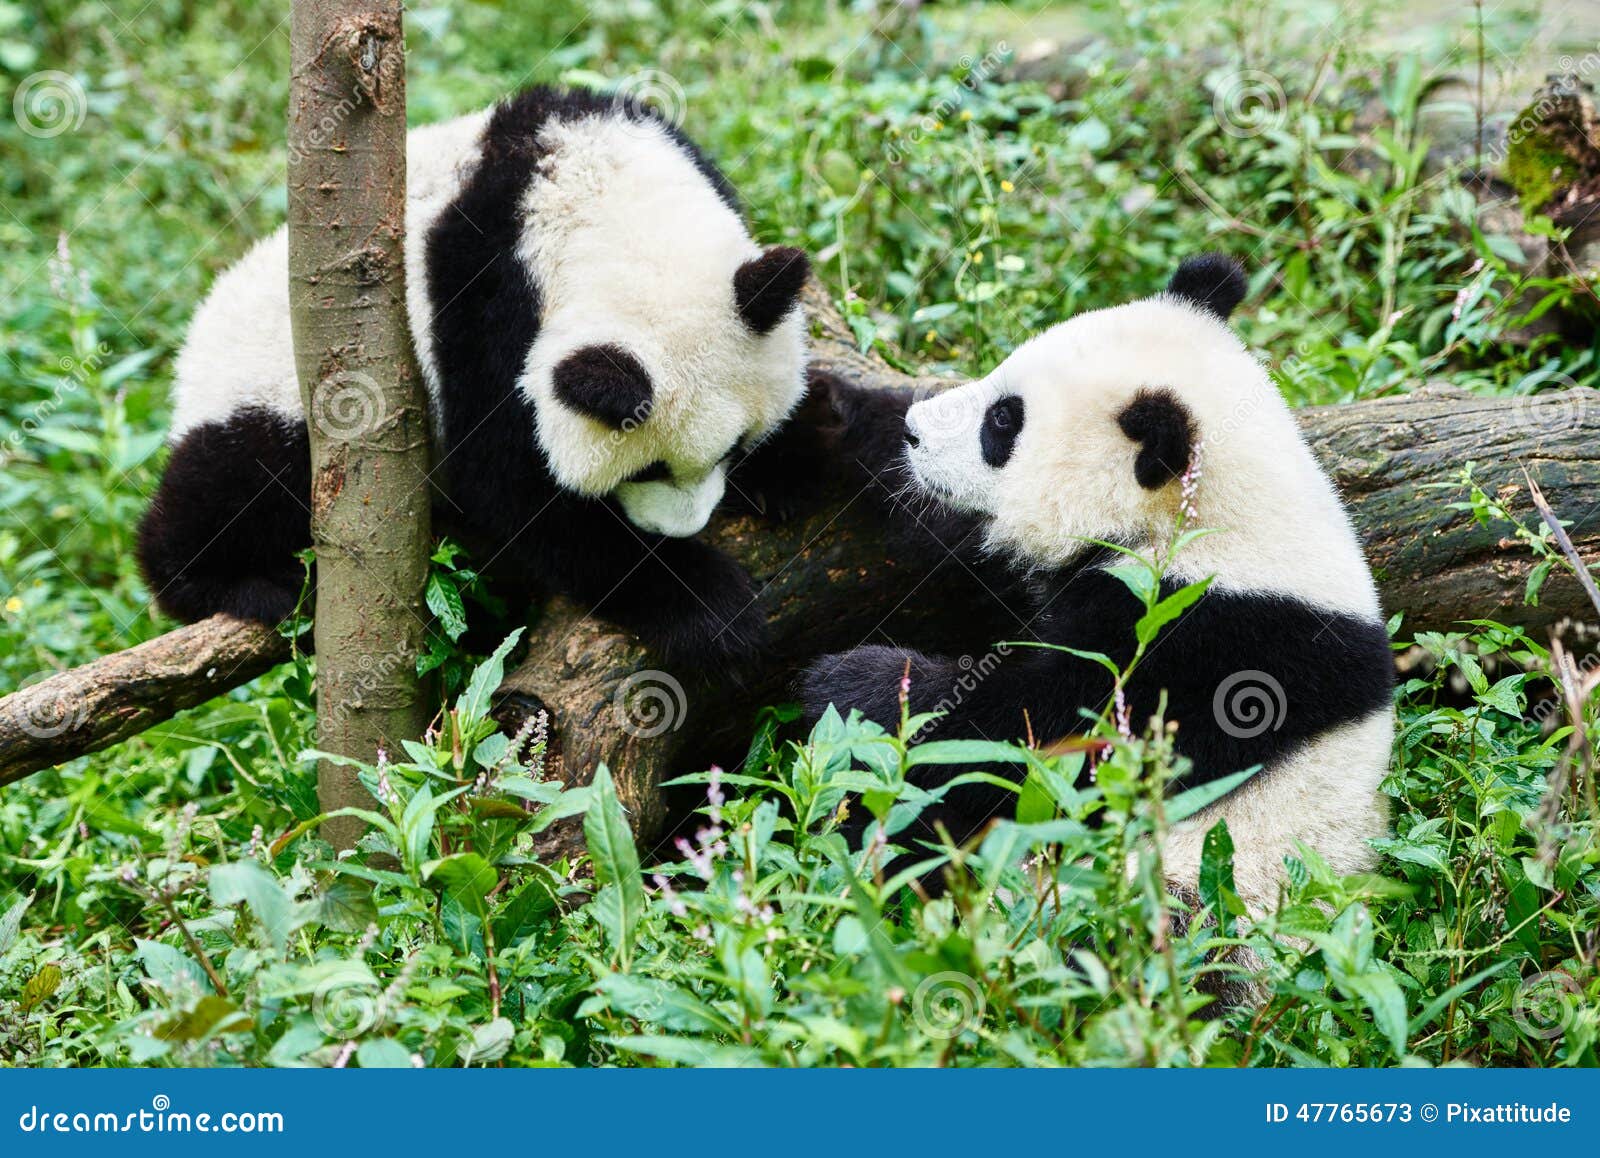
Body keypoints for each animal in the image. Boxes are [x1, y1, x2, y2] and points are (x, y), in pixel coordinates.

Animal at [136, 86, 811, 668]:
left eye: (732, 450)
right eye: (646, 471)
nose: (680, 528)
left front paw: (801, 459)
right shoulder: (484, 301)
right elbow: (513, 488)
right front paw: (706, 605)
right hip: (274, 391)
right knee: (237, 481)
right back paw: (232, 580)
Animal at [801, 255, 1395, 917]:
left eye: (1003, 421)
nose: (915, 433)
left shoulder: (1211, 653)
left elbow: (1036, 735)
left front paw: (856, 682)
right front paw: (834, 415)